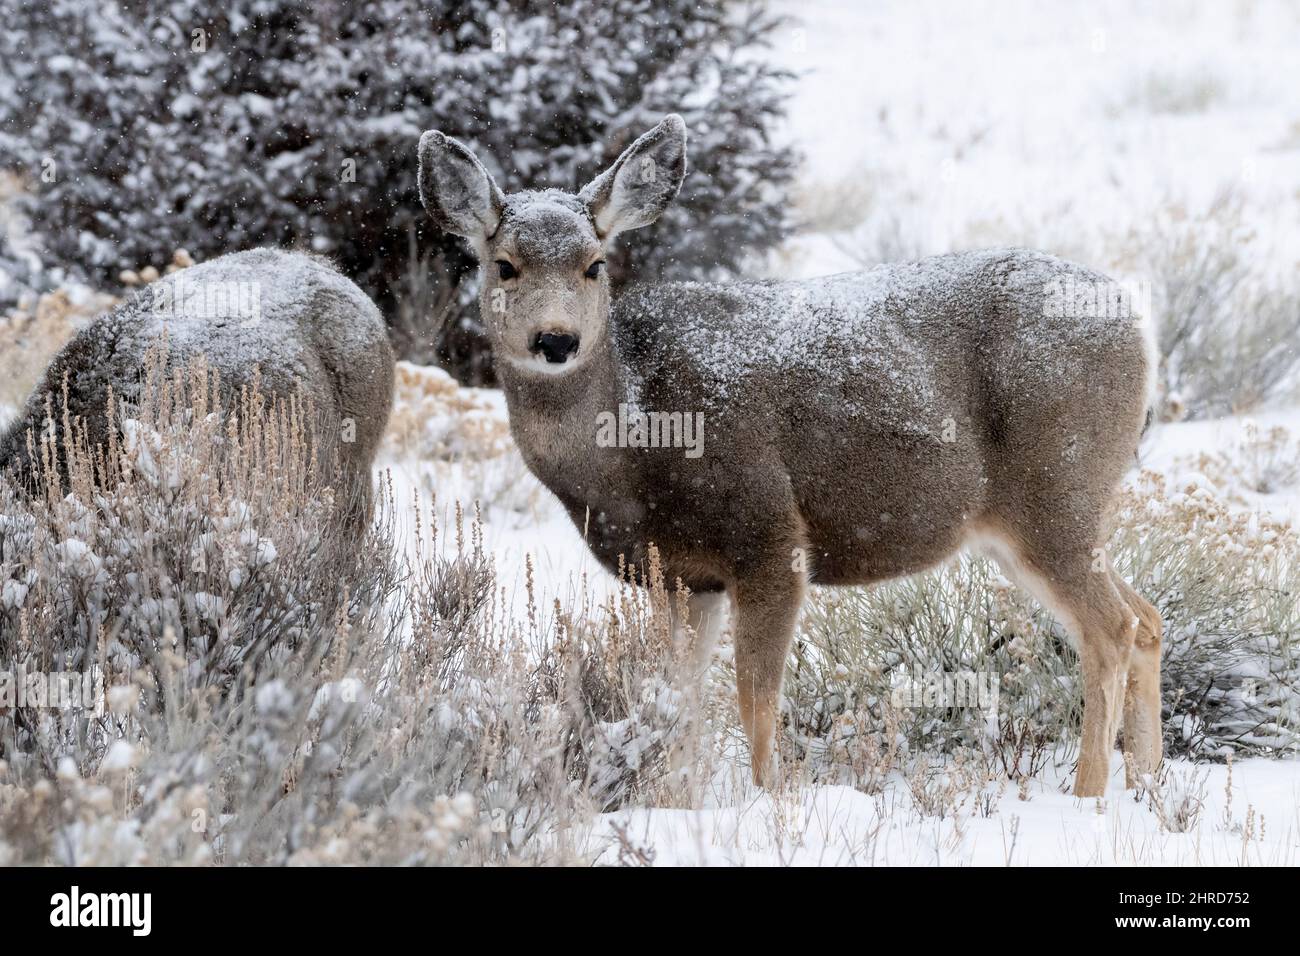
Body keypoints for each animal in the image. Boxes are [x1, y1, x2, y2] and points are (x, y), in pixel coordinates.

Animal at [416, 115, 1163, 797]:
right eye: (503, 265)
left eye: (594, 265)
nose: (555, 340)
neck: (633, 440)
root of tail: (1135, 323)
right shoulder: (683, 578)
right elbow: (676, 703)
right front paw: (677, 802)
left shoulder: (769, 534)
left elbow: (755, 701)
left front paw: (770, 801)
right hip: (1045, 520)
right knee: (1148, 618)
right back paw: (1149, 784)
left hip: (1054, 492)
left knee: (1112, 629)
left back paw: (1090, 794)